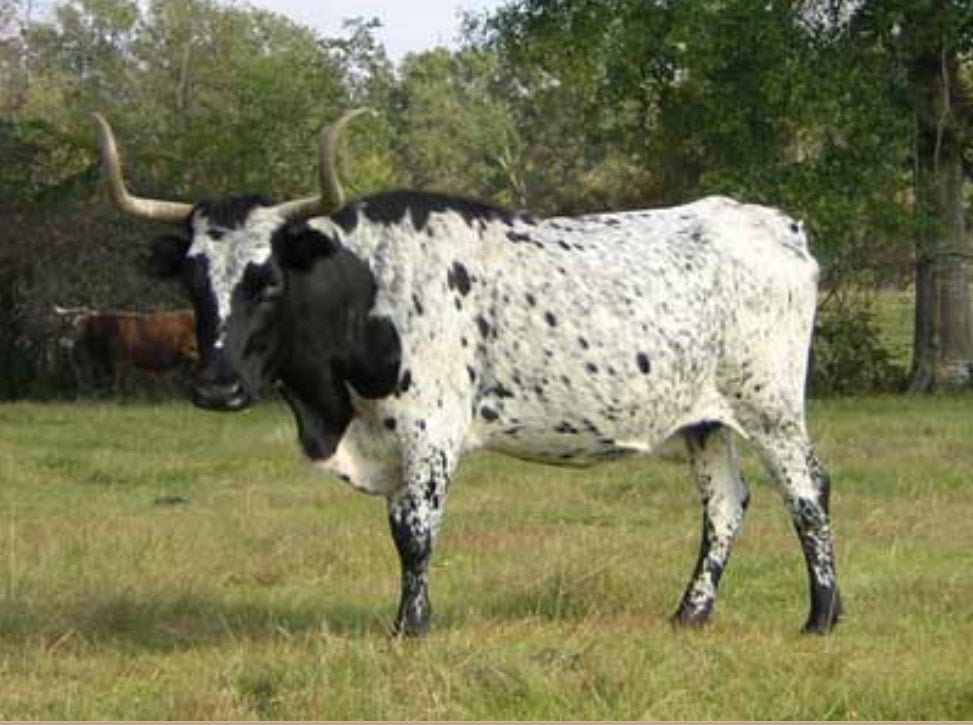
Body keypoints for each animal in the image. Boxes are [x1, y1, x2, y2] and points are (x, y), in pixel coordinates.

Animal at [92, 110, 841, 637]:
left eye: (267, 277)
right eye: (192, 279)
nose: (215, 386)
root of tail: (774, 224)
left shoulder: (430, 428)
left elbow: (413, 529)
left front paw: (410, 627)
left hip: (770, 404)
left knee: (807, 491)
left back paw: (821, 615)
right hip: (705, 418)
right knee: (724, 505)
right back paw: (690, 614)